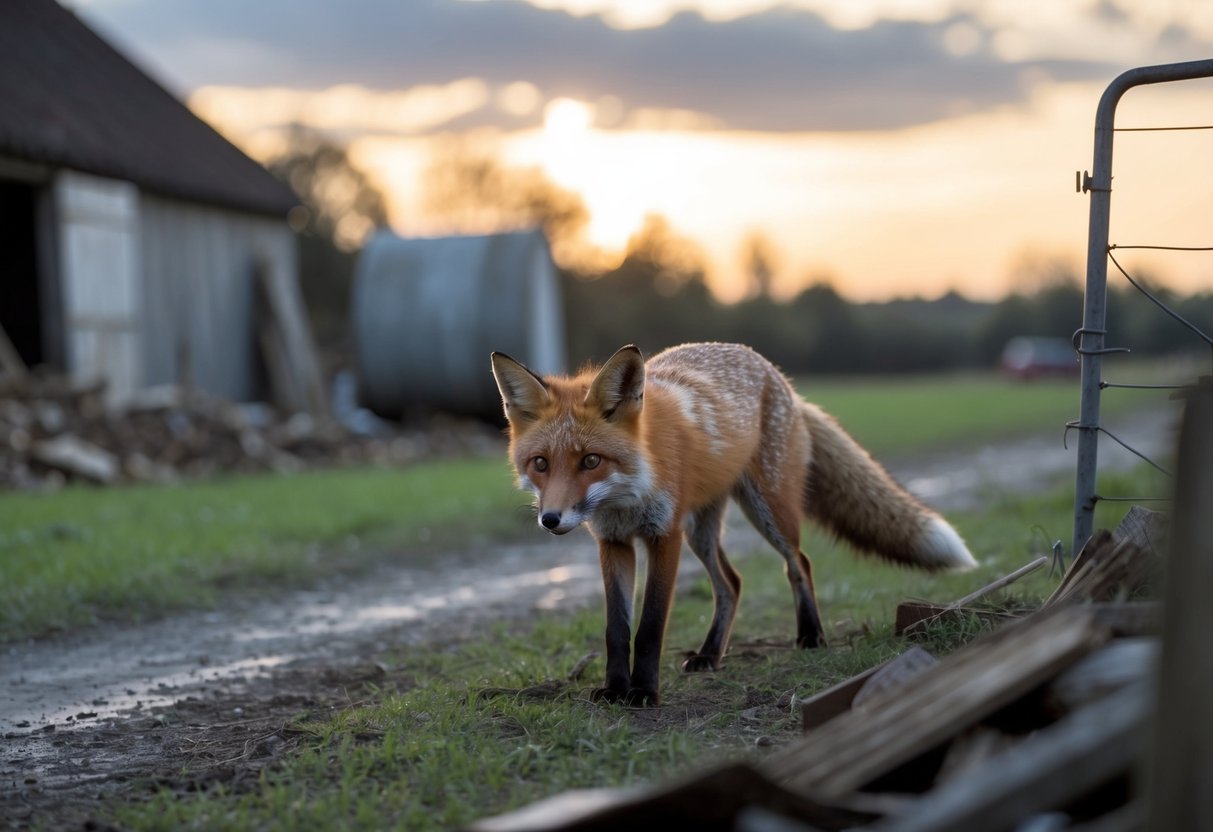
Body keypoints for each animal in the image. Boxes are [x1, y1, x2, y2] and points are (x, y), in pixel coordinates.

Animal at [490, 342, 975, 706]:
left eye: (591, 461)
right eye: (540, 464)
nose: (551, 519)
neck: (627, 495)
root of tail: (779, 376)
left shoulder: (663, 536)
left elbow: (649, 627)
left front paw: (643, 692)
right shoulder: (614, 543)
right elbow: (616, 629)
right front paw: (615, 689)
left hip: (767, 512)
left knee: (799, 563)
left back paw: (810, 634)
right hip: (702, 532)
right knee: (732, 583)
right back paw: (710, 655)